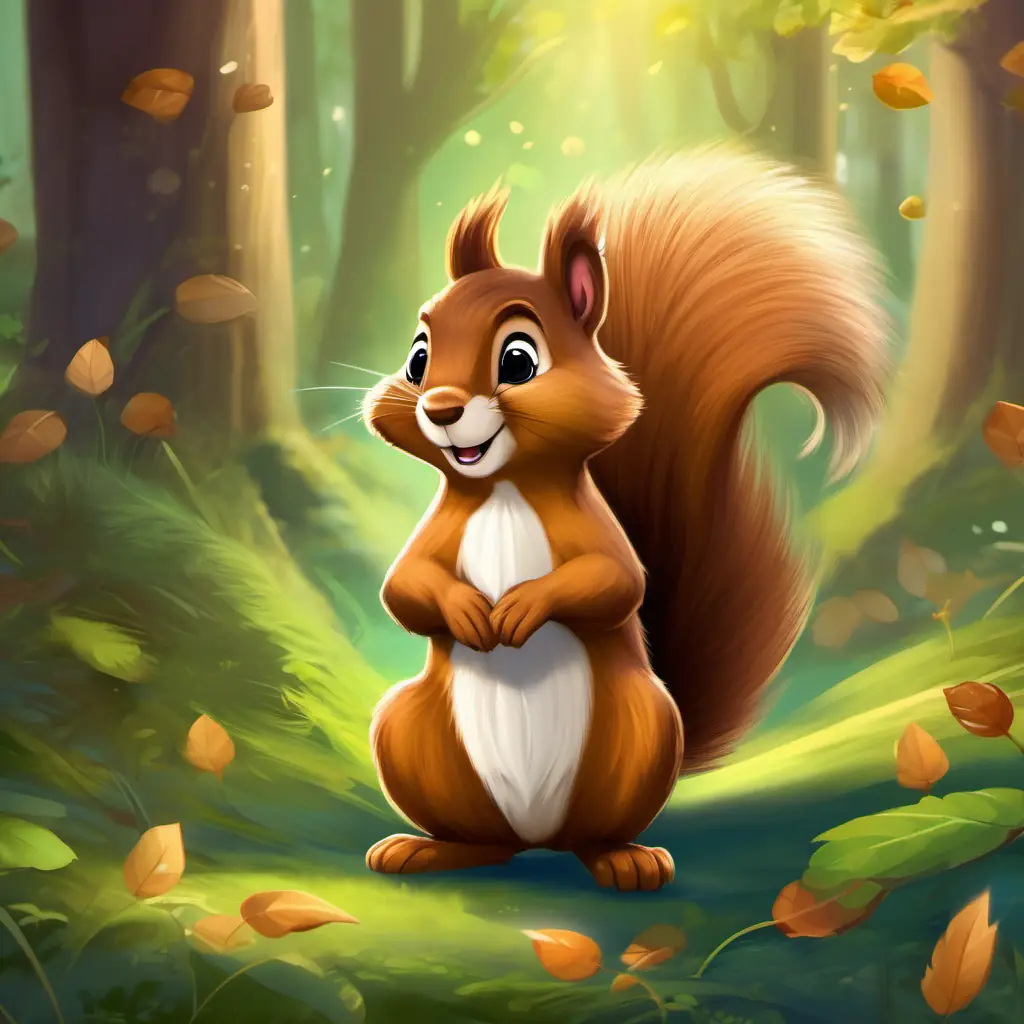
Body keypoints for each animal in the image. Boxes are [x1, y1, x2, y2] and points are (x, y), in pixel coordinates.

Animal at [361, 146, 888, 892]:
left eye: (518, 360)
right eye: (417, 357)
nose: (439, 408)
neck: (502, 490)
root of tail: (537, 840)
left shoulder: (599, 536)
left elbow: (615, 584)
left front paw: (520, 609)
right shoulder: (433, 538)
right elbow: (404, 588)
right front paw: (468, 612)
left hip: (642, 733)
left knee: (595, 835)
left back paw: (626, 859)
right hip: (410, 733)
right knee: (479, 839)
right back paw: (426, 850)